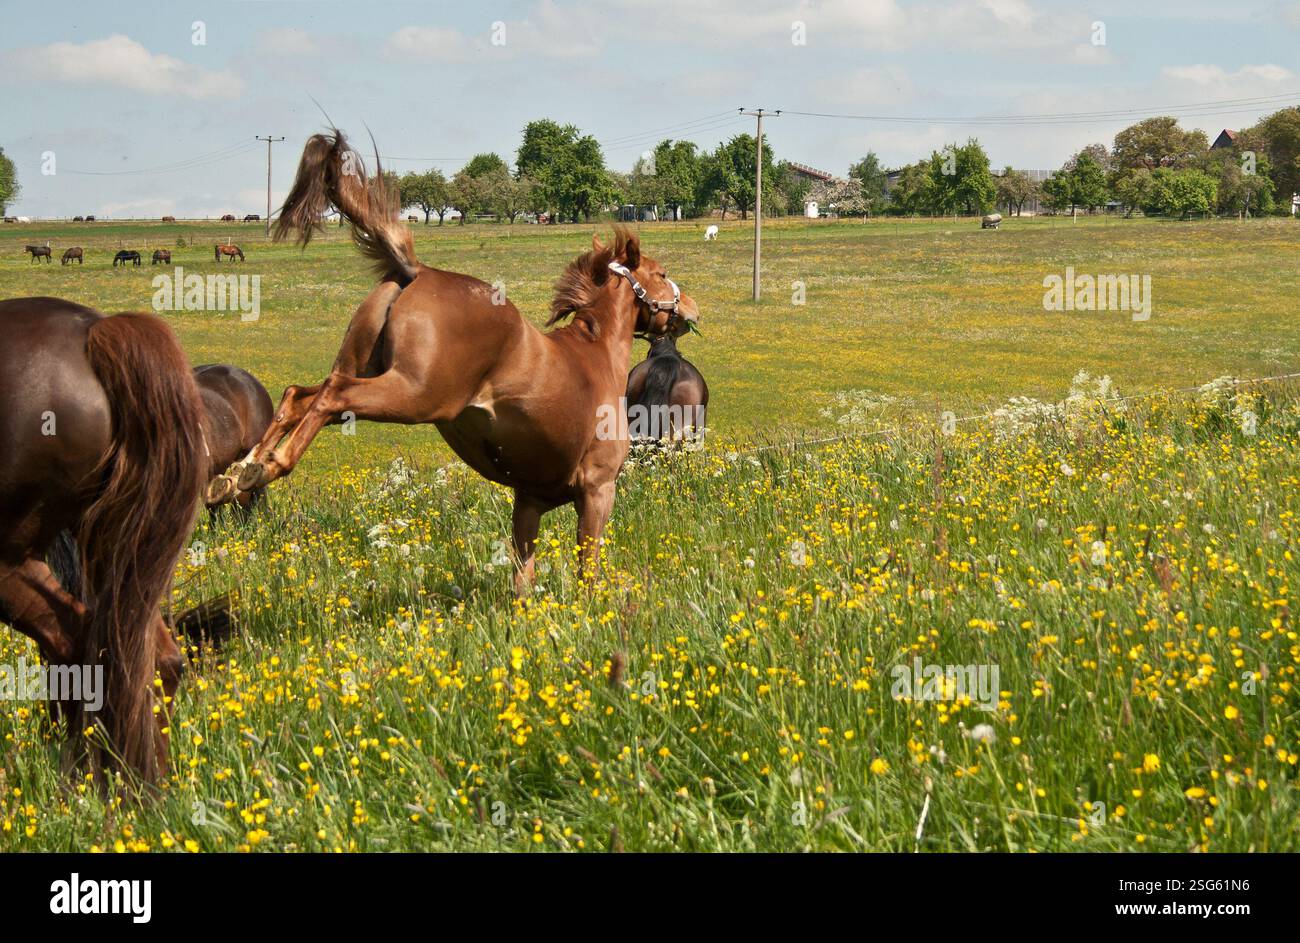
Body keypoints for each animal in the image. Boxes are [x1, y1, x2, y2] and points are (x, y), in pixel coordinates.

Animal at [208, 129, 699, 595]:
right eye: (661, 273)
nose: (690, 308)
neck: (595, 355)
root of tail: (417, 271)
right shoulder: (598, 490)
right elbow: (588, 569)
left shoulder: (529, 501)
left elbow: (523, 579)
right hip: (414, 394)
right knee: (331, 396)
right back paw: (267, 466)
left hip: (365, 368)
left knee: (300, 396)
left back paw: (237, 475)